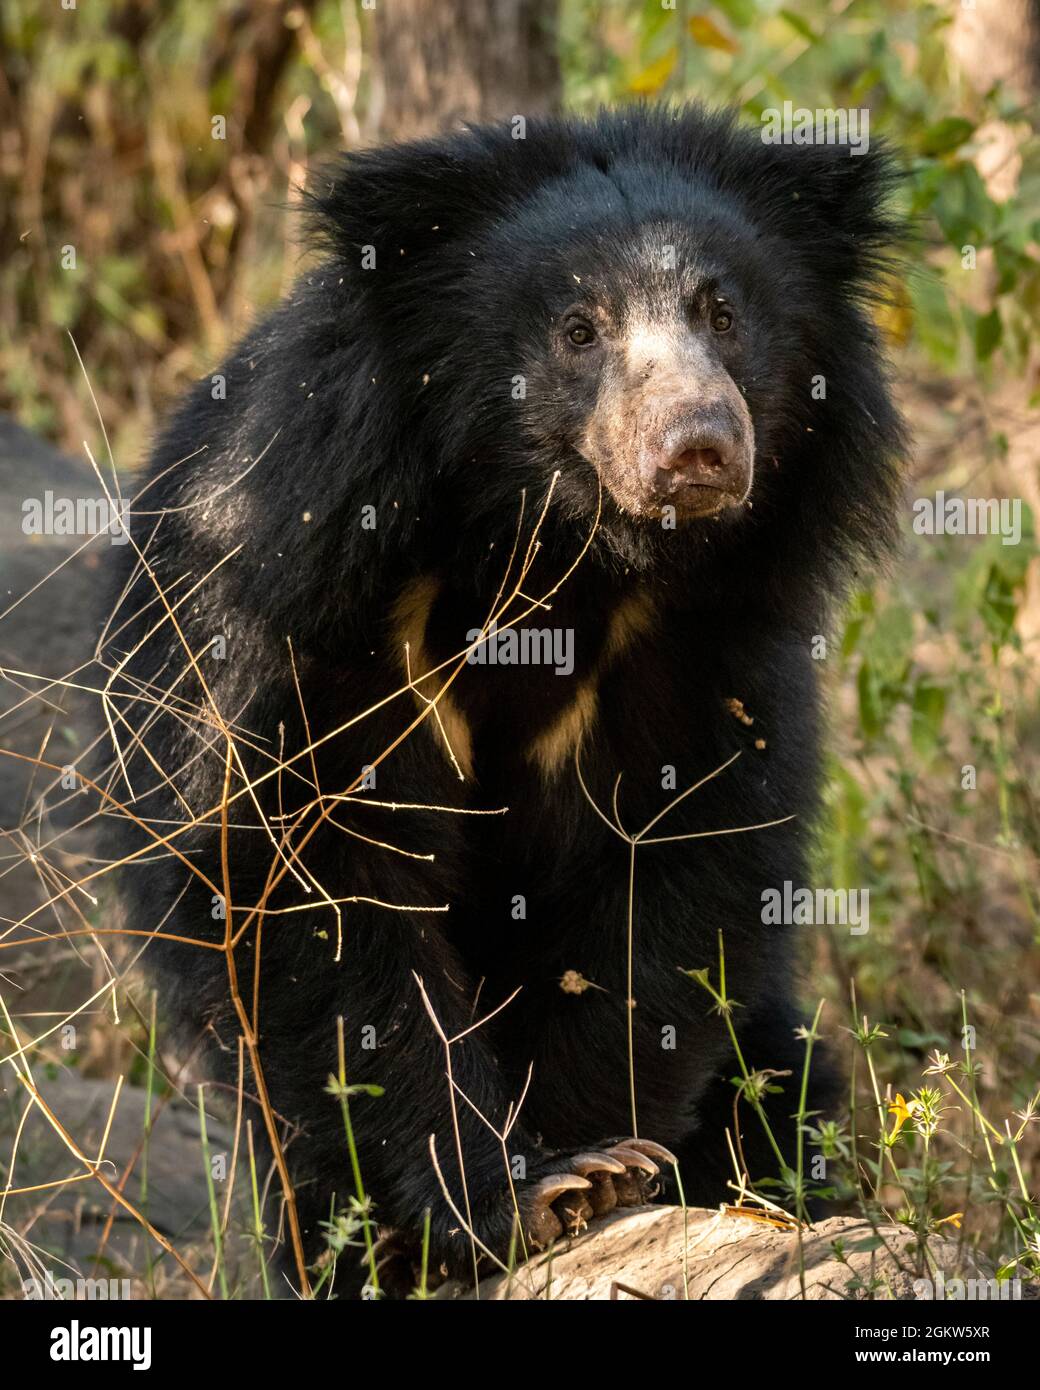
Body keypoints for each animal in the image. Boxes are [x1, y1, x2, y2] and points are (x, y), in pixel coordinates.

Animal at [104, 105, 905, 1295]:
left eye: (724, 314)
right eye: (578, 330)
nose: (699, 445)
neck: (556, 554)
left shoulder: (704, 646)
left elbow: (671, 884)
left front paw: (597, 1168)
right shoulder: (316, 601)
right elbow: (315, 882)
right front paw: (527, 1195)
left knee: (782, 1078)